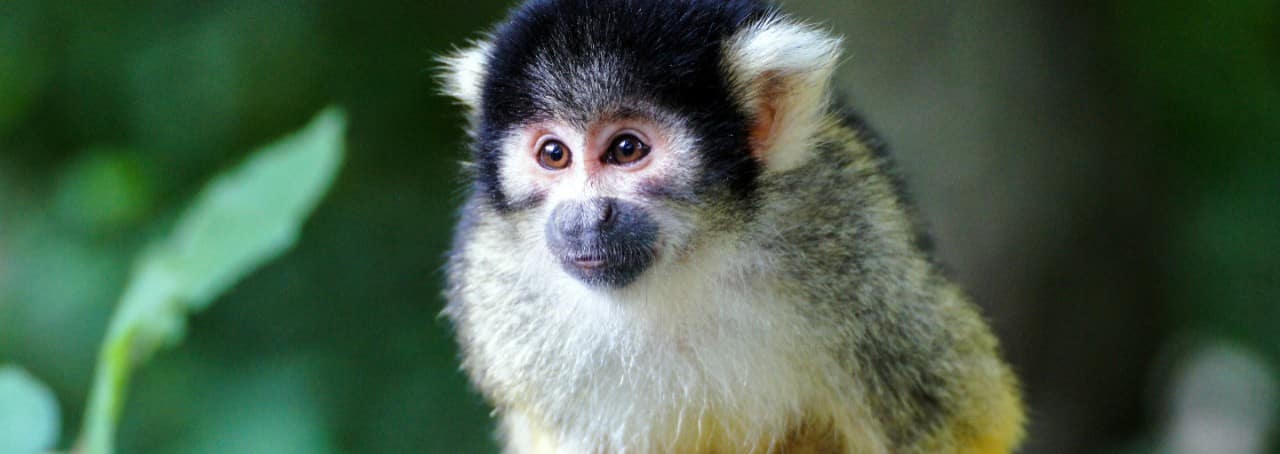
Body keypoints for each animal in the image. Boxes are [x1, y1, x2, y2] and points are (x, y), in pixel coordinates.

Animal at [439, 0, 1025, 452]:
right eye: (553, 154)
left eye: (626, 149)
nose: (585, 217)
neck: (682, 265)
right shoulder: (491, 282)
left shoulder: (847, 225)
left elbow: (960, 419)